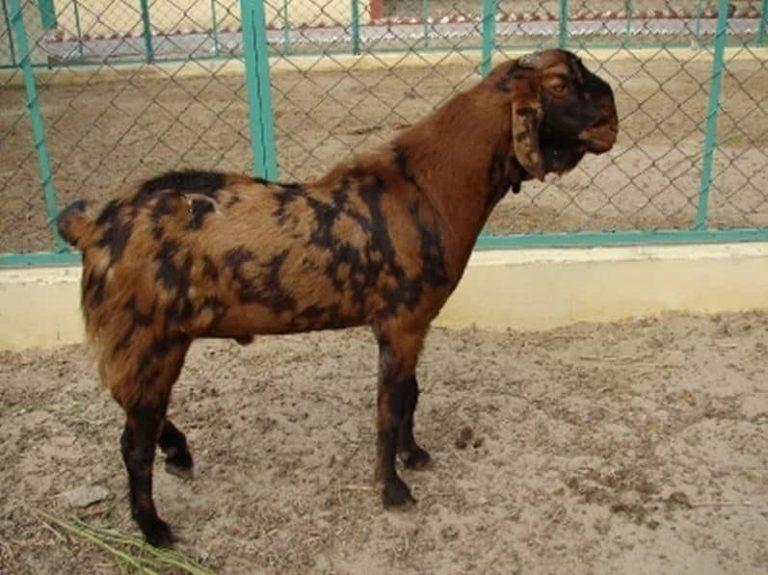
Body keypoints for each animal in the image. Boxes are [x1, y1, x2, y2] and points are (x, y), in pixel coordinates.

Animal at [57, 49, 618, 547]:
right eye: (560, 83)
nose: (612, 113)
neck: (426, 187)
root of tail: (94, 228)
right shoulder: (401, 321)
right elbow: (390, 407)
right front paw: (393, 490)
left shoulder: (410, 324)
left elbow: (411, 395)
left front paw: (415, 456)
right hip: (149, 338)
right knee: (133, 442)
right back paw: (154, 528)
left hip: (144, 343)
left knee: (132, 407)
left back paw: (178, 453)